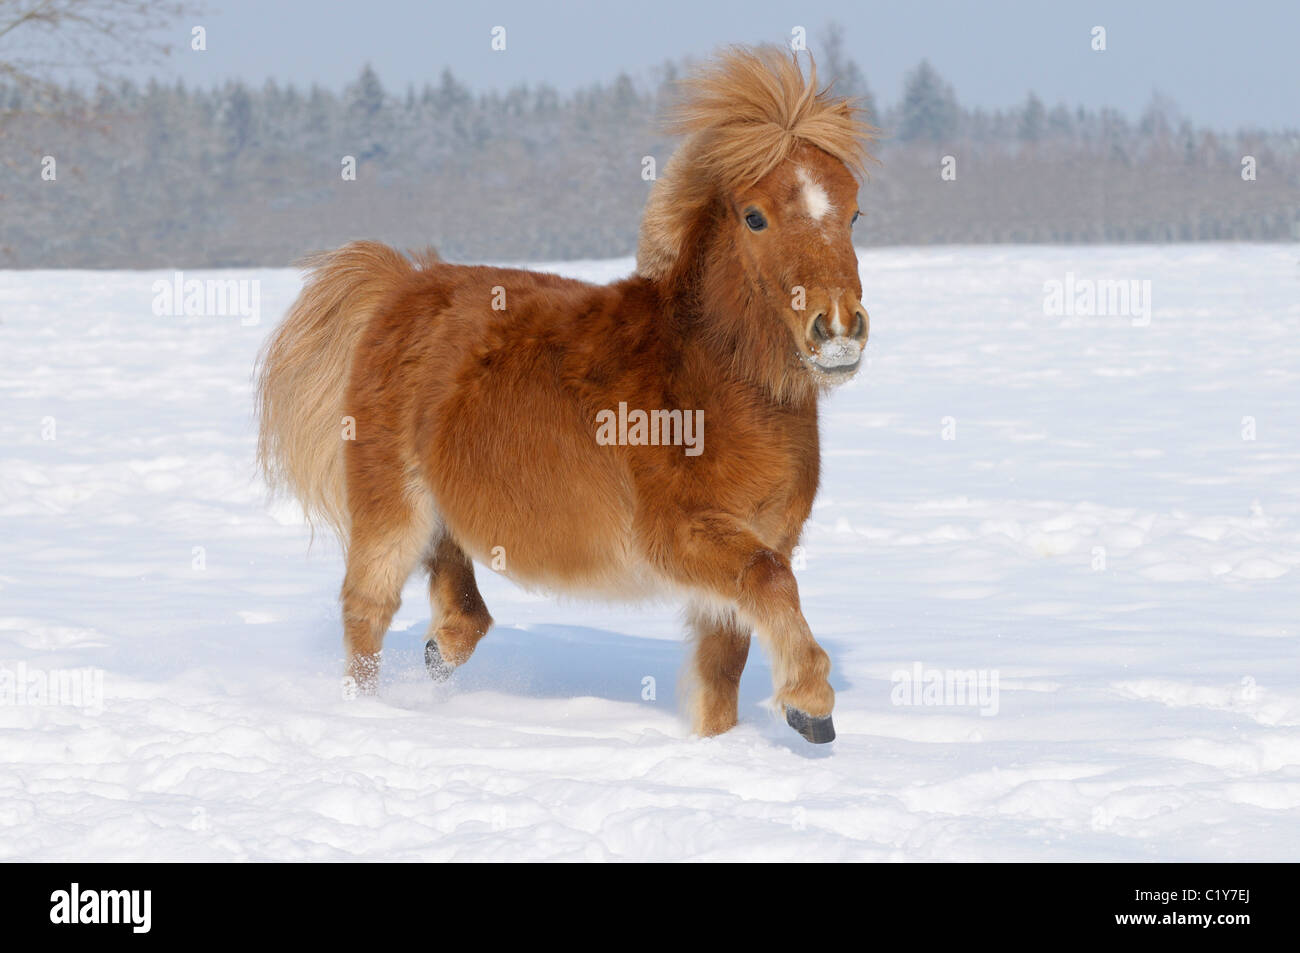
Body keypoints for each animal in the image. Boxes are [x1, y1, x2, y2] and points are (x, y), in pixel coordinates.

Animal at [255, 45, 875, 744]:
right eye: (755, 216)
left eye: (854, 212)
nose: (839, 331)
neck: (709, 384)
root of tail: (402, 287)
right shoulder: (681, 536)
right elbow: (770, 581)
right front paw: (811, 706)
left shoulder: (756, 542)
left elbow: (723, 669)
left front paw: (721, 746)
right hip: (390, 505)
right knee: (367, 609)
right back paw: (364, 715)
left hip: (445, 495)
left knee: (453, 576)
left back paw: (443, 647)